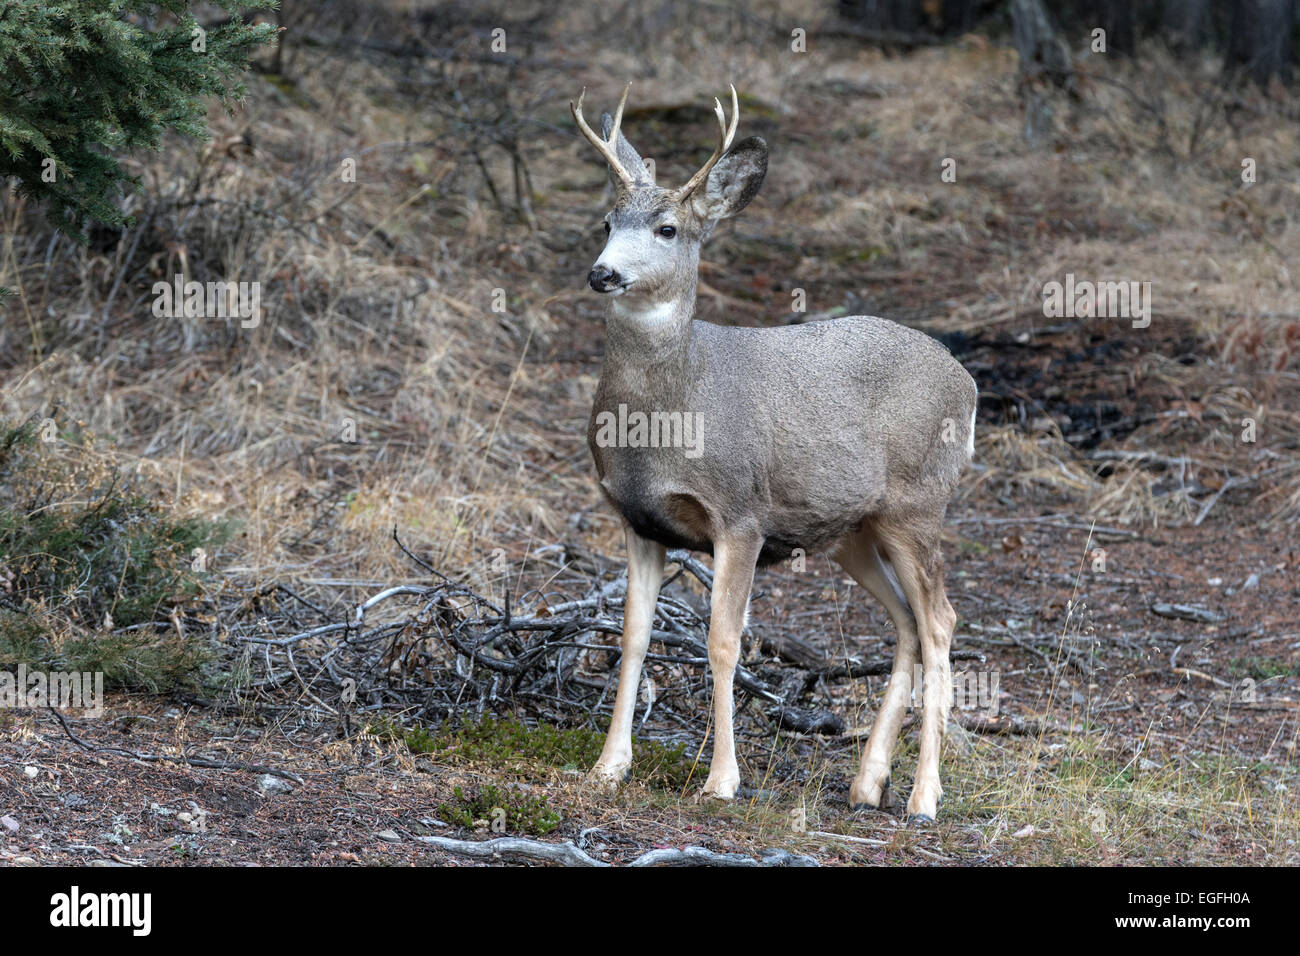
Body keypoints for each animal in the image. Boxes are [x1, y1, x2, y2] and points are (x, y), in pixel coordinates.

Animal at [571, 83, 978, 822]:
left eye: (667, 228)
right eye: (608, 220)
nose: (603, 273)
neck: (670, 412)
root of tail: (968, 383)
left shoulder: (740, 515)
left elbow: (724, 642)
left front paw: (721, 780)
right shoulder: (638, 520)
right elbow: (633, 636)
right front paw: (607, 768)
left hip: (918, 504)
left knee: (940, 622)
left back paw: (923, 797)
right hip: (852, 529)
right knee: (907, 621)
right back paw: (867, 783)